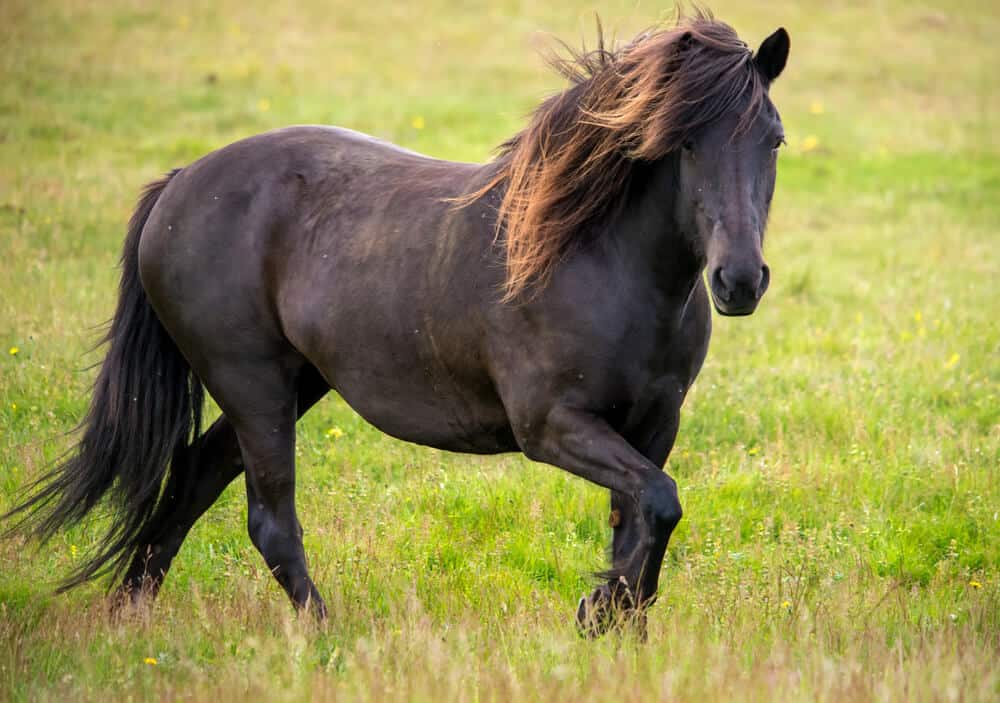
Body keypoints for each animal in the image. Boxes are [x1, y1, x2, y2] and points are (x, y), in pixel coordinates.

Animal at [5, 14, 789, 636]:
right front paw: (599, 613)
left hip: (293, 383)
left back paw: (130, 612)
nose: (739, 281)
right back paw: (324, 633)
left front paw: (616, 627)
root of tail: (178, 186)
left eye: (774, 140)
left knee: (196, 477)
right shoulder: (551, 426)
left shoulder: (655, 422)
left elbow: (643, 521)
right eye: (683, 142)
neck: (597, 258)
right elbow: (657, 503)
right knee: (269, 519)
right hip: (252, 384)